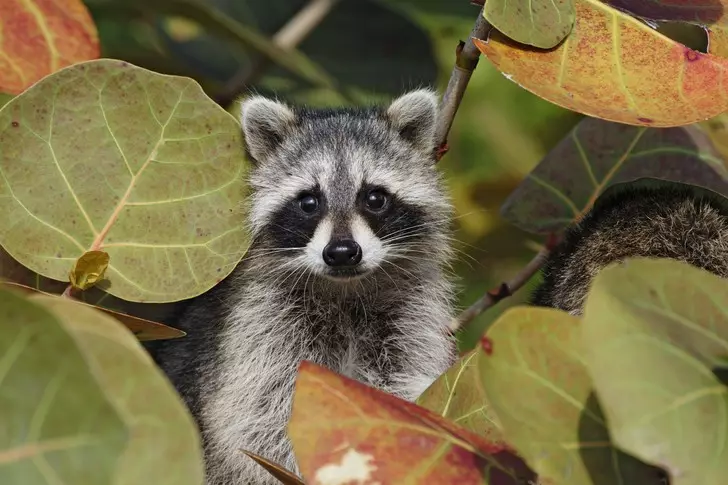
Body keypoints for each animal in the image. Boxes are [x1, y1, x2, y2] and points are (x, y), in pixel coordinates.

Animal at [147, 89, 456, 482]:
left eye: (374, 198)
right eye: (309, 201)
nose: (341, 253)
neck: (345, 290)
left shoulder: (412, 318)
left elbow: (406, 384)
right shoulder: (261, 329)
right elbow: (257, 421)